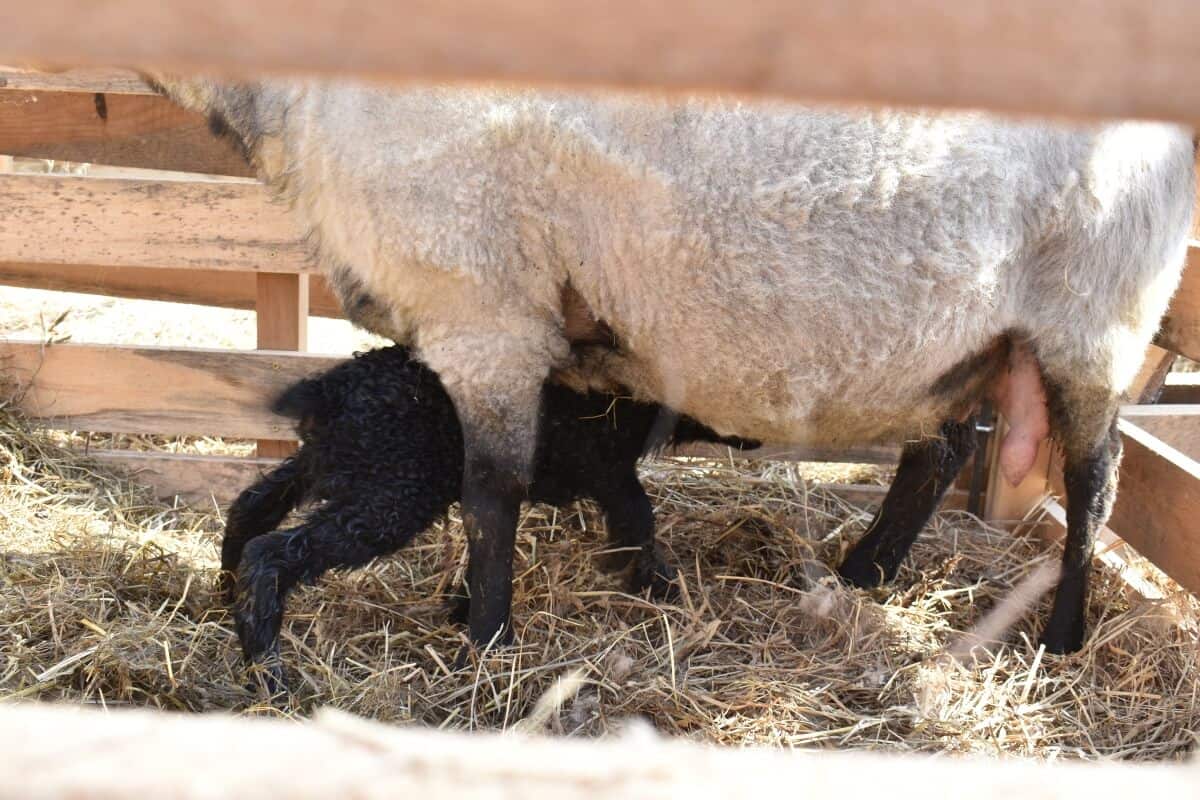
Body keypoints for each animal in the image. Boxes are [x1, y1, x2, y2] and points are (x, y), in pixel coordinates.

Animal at [223, 344, 755, 680]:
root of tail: (328, 390)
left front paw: (461, 606)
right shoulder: (604, 465)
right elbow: (638, 517)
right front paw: (657, 584)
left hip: (334, 463)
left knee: (250, 507)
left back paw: (224, 602)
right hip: (393, 490)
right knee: (270, 553)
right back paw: (270, 674)